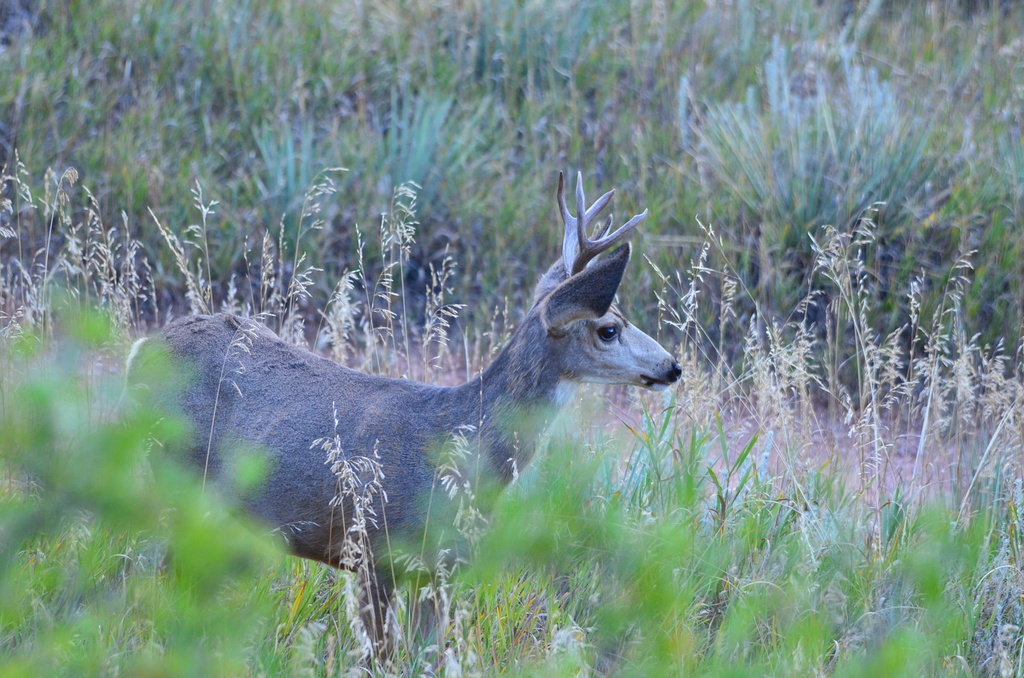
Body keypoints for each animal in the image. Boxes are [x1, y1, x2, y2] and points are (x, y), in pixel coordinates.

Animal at [128, 171, 681, 653]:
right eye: (609, 328)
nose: (672, 366)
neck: (461, 446)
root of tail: (141, 348)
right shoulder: (374, 549)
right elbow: (383, 657)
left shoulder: (438, 567)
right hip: (173, 474)